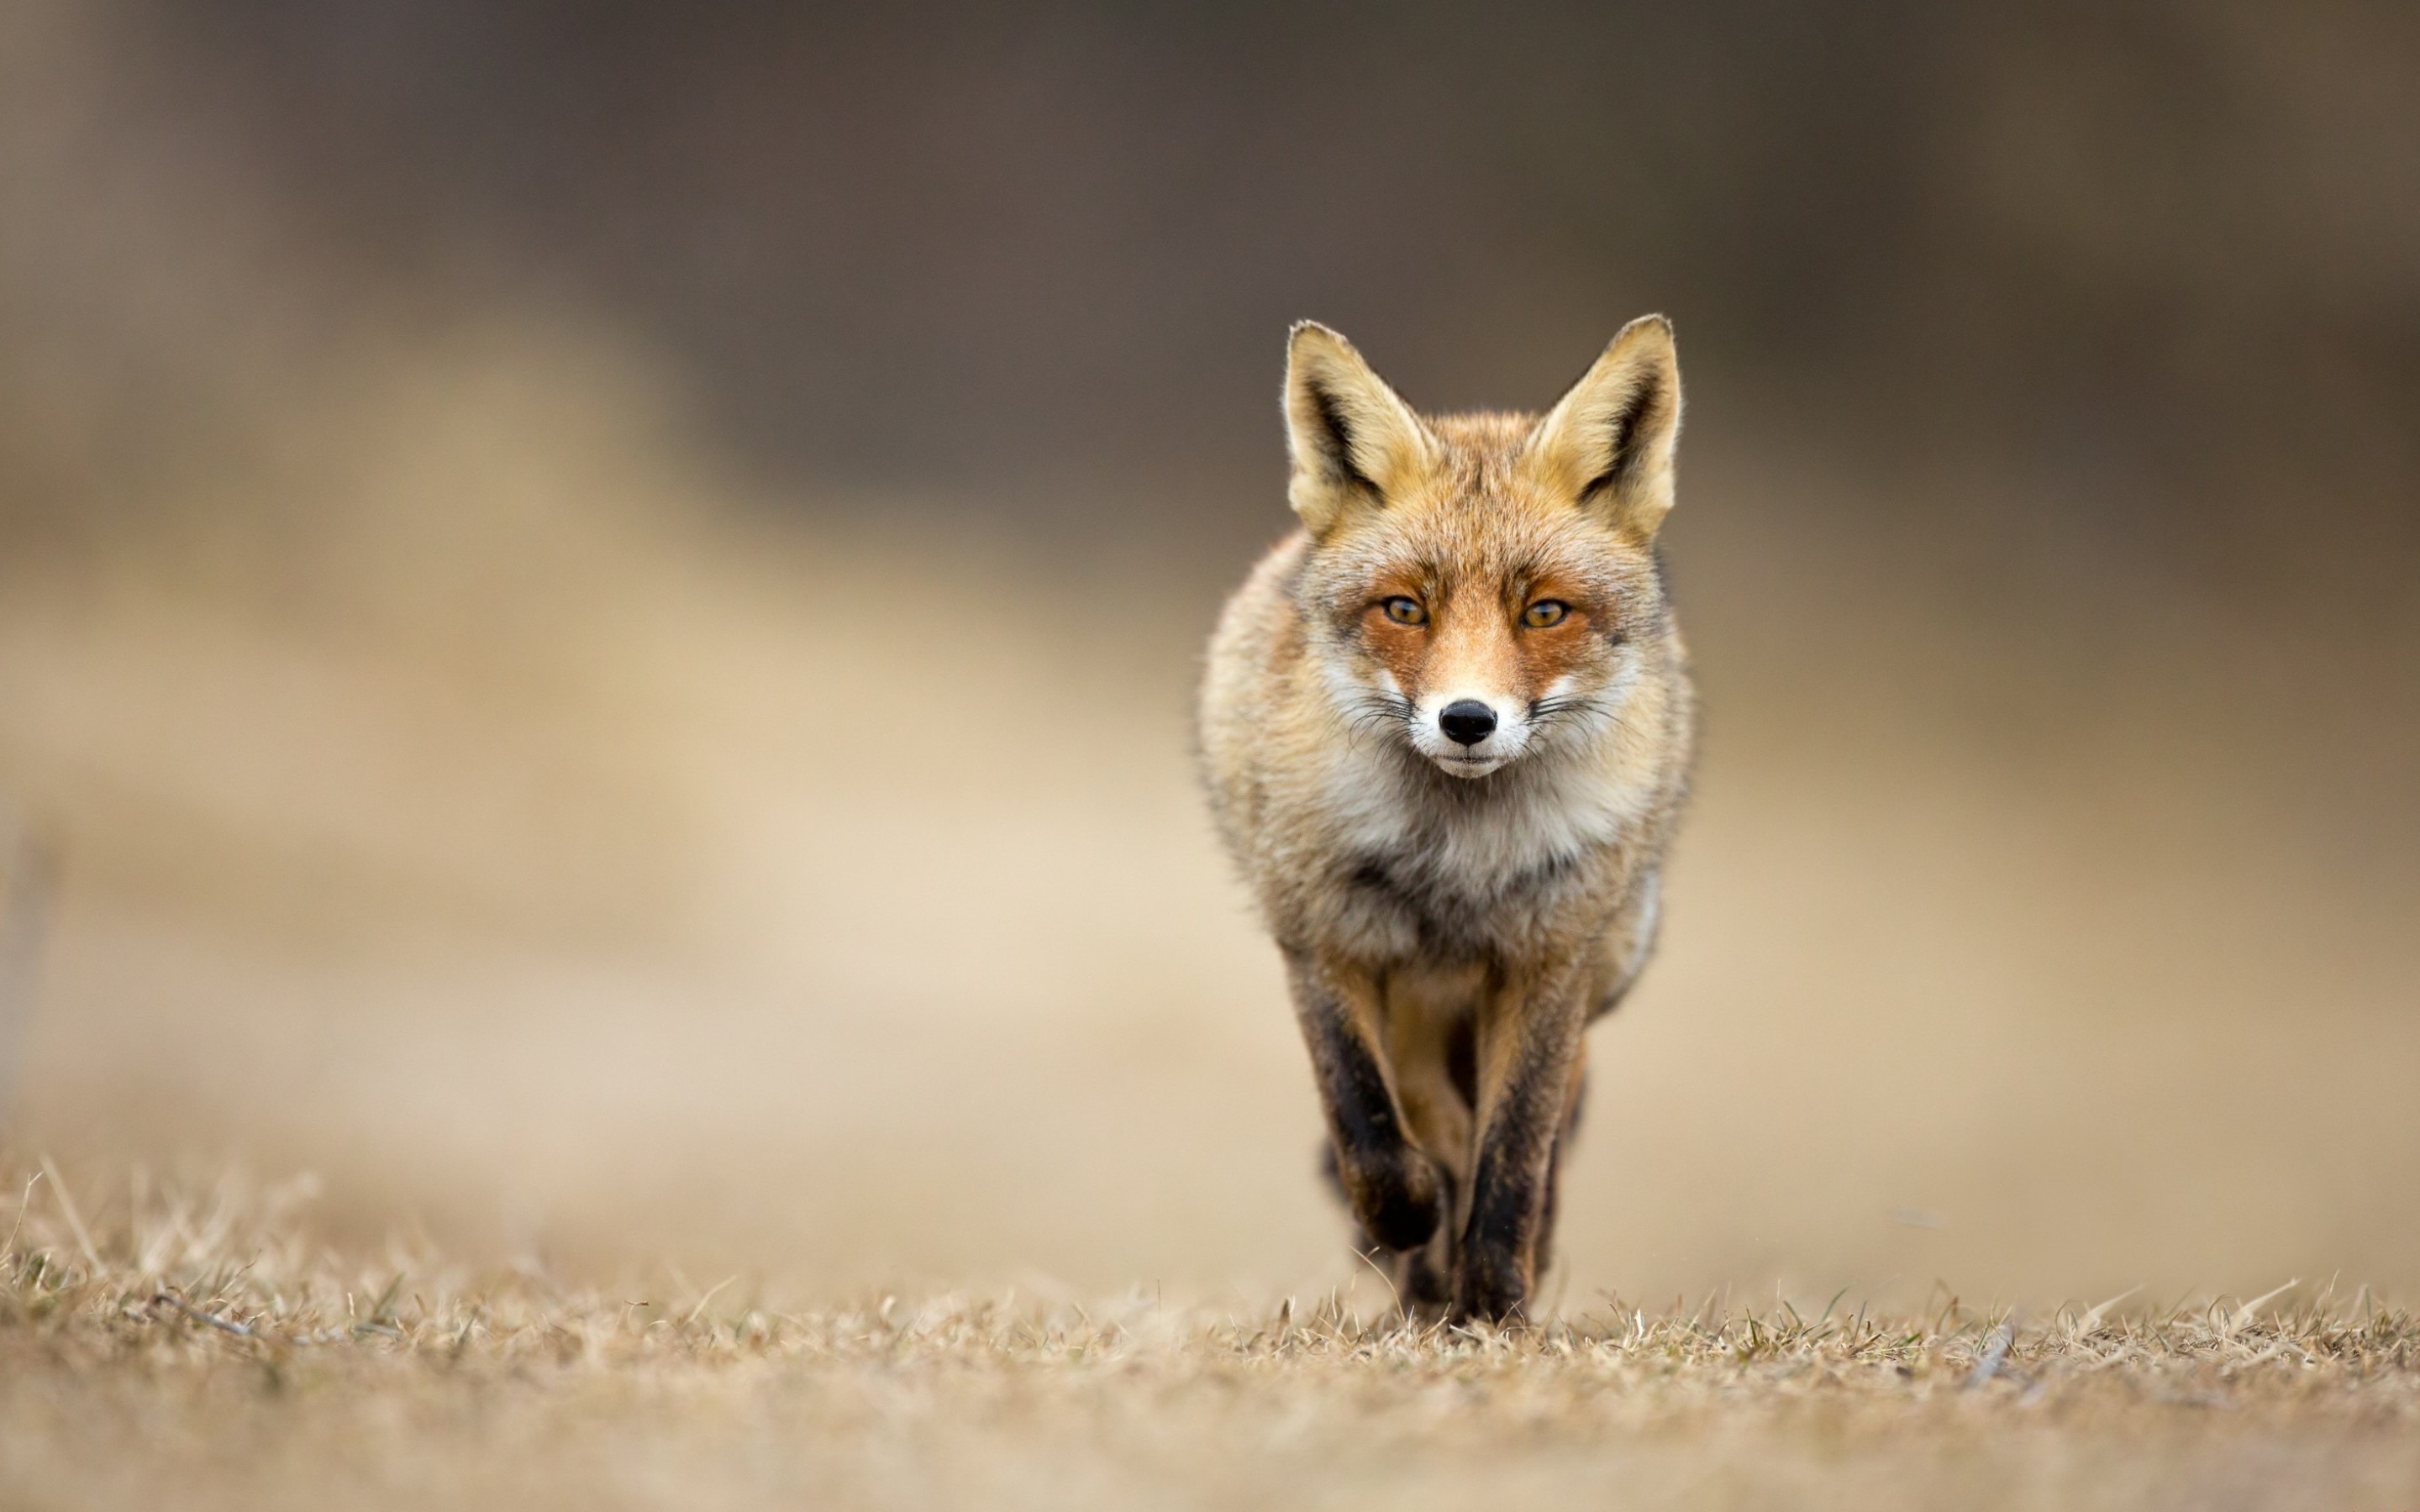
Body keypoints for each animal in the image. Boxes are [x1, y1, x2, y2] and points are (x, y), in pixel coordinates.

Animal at [1197, 316, 1695, 1323]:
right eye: (1404, 609)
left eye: (1544, 612)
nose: (1469, 720)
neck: (1457, 859)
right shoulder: (1323, 942)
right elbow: (1368, 1127)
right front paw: (1412, 1225)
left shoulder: (1548, 962)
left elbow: (1517, 1155)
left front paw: (1499, 1304)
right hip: (1417, 998)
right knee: (1431, 1116)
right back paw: (1422, 1274)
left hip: (1597, 964)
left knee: (1534, 1133)